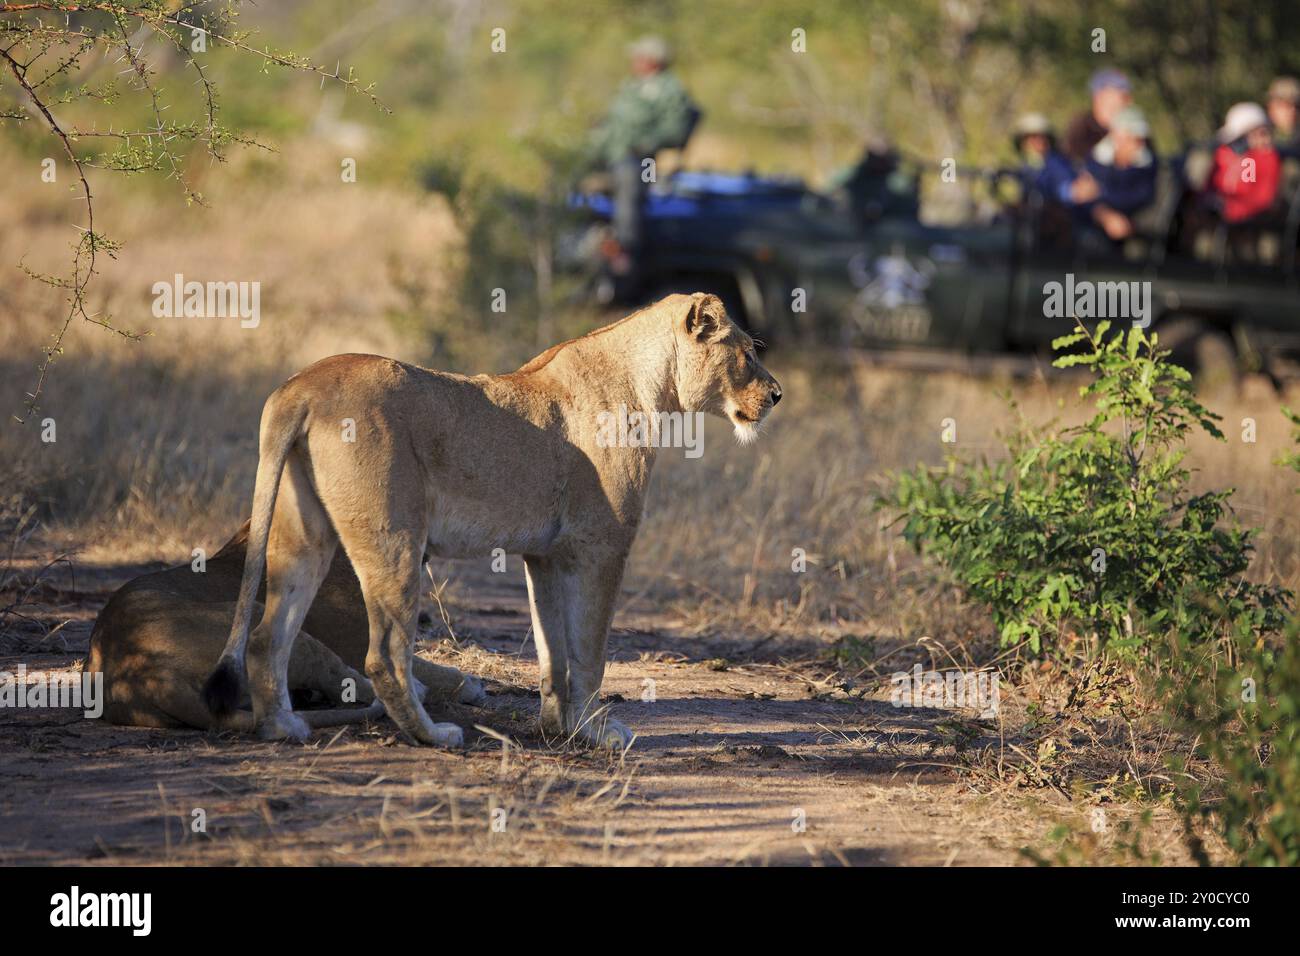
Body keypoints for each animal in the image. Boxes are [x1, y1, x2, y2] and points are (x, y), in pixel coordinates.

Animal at [84, 519, 485, 731]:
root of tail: (140, 678)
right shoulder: (359, 642)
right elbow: (434, 670)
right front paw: (469, 683)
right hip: (259, 615)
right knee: (346, 681)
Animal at [202, 292, 782, 748]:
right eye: (745, 350)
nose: (777, 395)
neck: (652, 387)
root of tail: (300, 385)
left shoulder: (546, 555)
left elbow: (554, 652)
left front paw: (560, 728)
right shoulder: (601, 545)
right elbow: (589, 652)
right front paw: (597, 731)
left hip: (304, 537)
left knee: (266, 635)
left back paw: (281, 727)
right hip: (396, 536)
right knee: (384, 655)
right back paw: (432, 735)